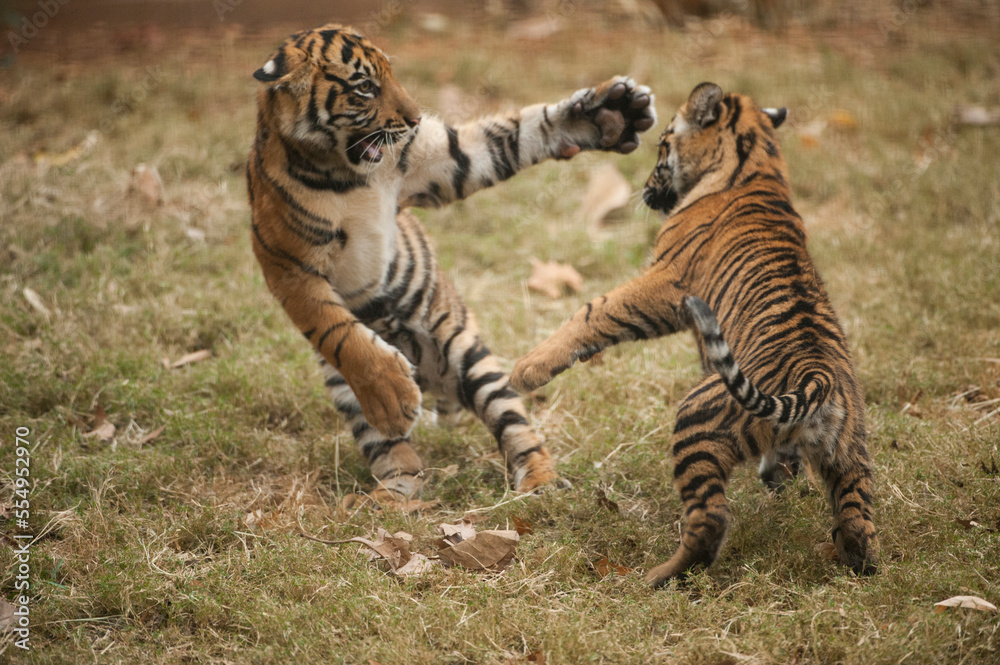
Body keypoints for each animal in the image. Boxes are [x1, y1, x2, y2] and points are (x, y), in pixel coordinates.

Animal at [247, 24, 656, 502]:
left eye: (391, 74)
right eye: (365, 87)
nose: (415, 120)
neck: (344, 172)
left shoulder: (440, 162)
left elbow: (516, 135)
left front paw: (611, 115)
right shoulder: (290, 267)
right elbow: (338, 331)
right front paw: (393, 398)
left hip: (468, 354)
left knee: (517, 428)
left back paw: (541, 483)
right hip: (345, 390)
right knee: (396, 455)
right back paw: (392, 495)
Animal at [510, 82, 878, 585]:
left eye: (662, 146)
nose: (646, 191)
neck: (759, 162)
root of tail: (817, 375)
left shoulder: (666, 283)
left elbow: (594, 311)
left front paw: (525, 370)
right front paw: (779, 472)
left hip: (696, 421)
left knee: (710, 517)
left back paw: (658, 577)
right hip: (850, 454)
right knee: (859, 519)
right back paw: (856, 563)